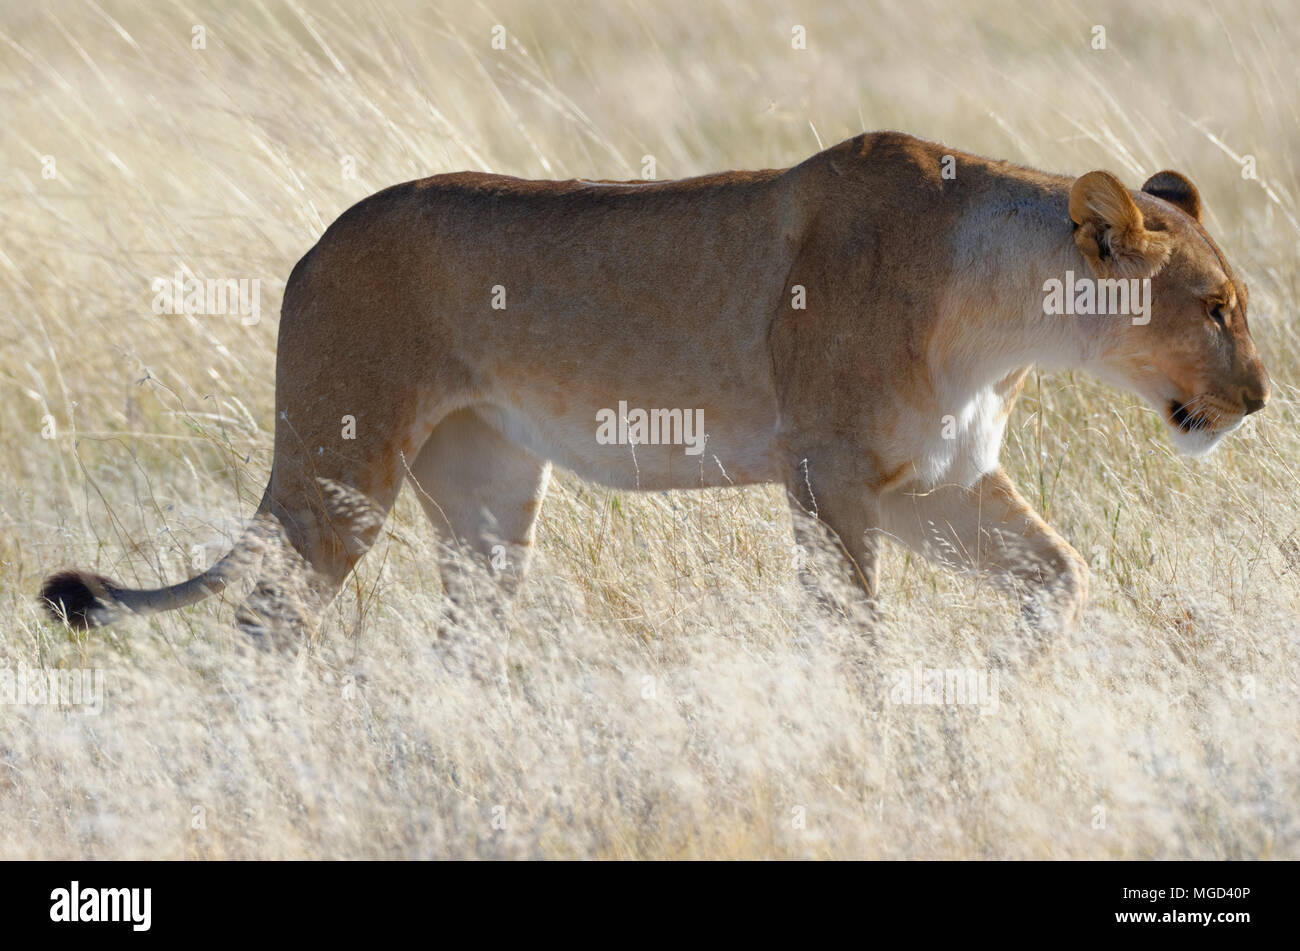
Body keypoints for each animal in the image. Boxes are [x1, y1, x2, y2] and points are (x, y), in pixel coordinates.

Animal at [40, 131, 1270, 650]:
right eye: (1214, 309)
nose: (1260, 400)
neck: (1007, 319)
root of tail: (312, 245)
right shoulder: (830, 478)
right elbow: (853, 634)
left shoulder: (935, 484)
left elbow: (1058, 578)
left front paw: (1008, 676)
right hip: (339, 461)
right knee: (265, 612)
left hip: (486, 488)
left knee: (464, 629)